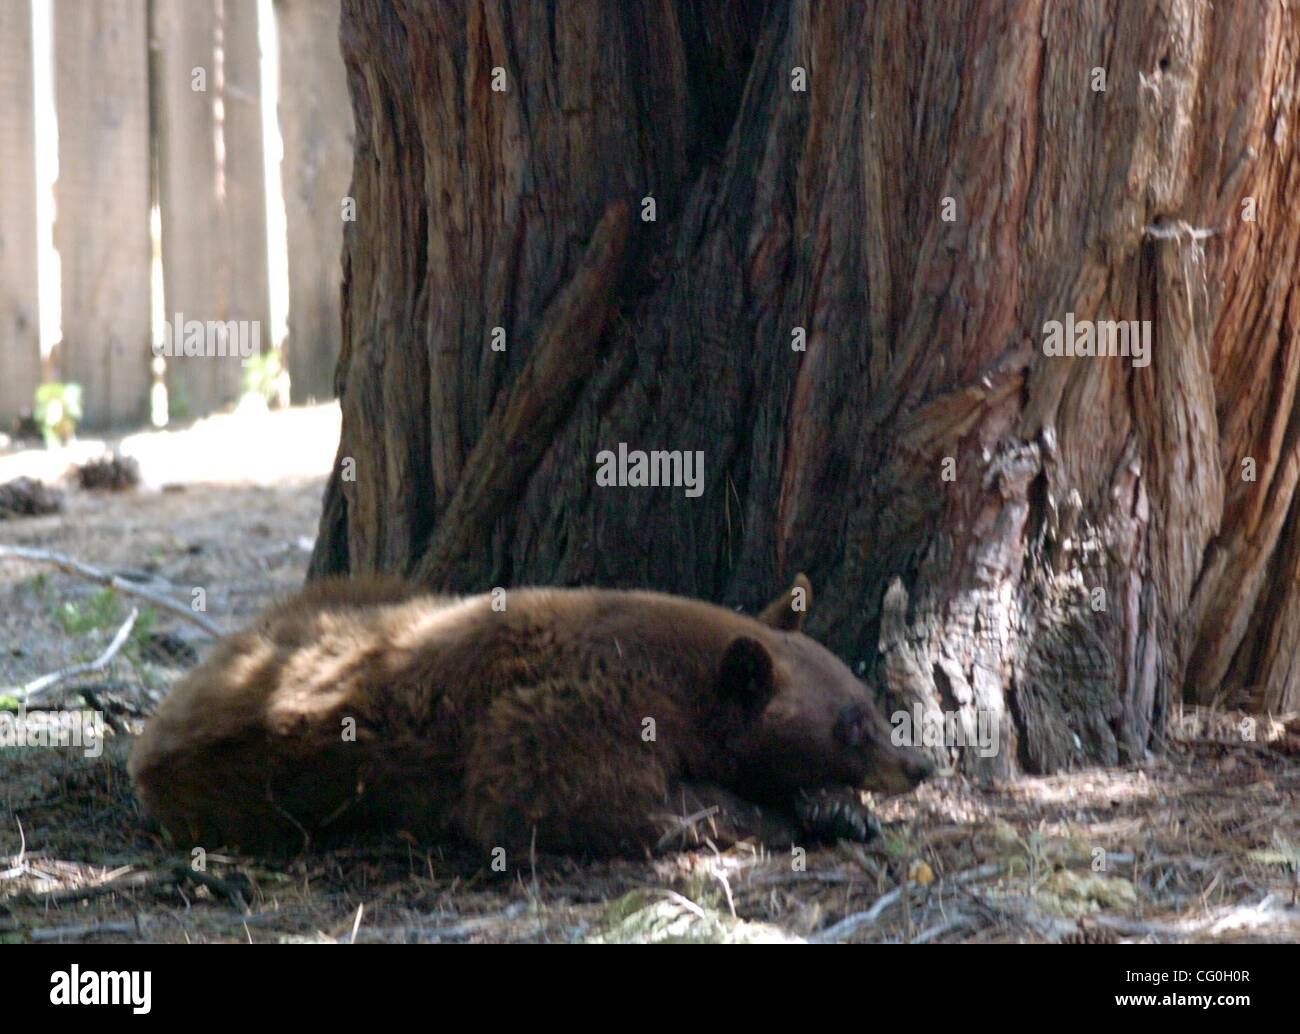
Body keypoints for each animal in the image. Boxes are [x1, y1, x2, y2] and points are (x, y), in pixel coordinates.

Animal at [128, 575, 933, 858]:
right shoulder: (572, 716)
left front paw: (838, 807)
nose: (919, 763)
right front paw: (775, 812)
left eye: (869, 701)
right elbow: (564, 801)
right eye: (855, 722)